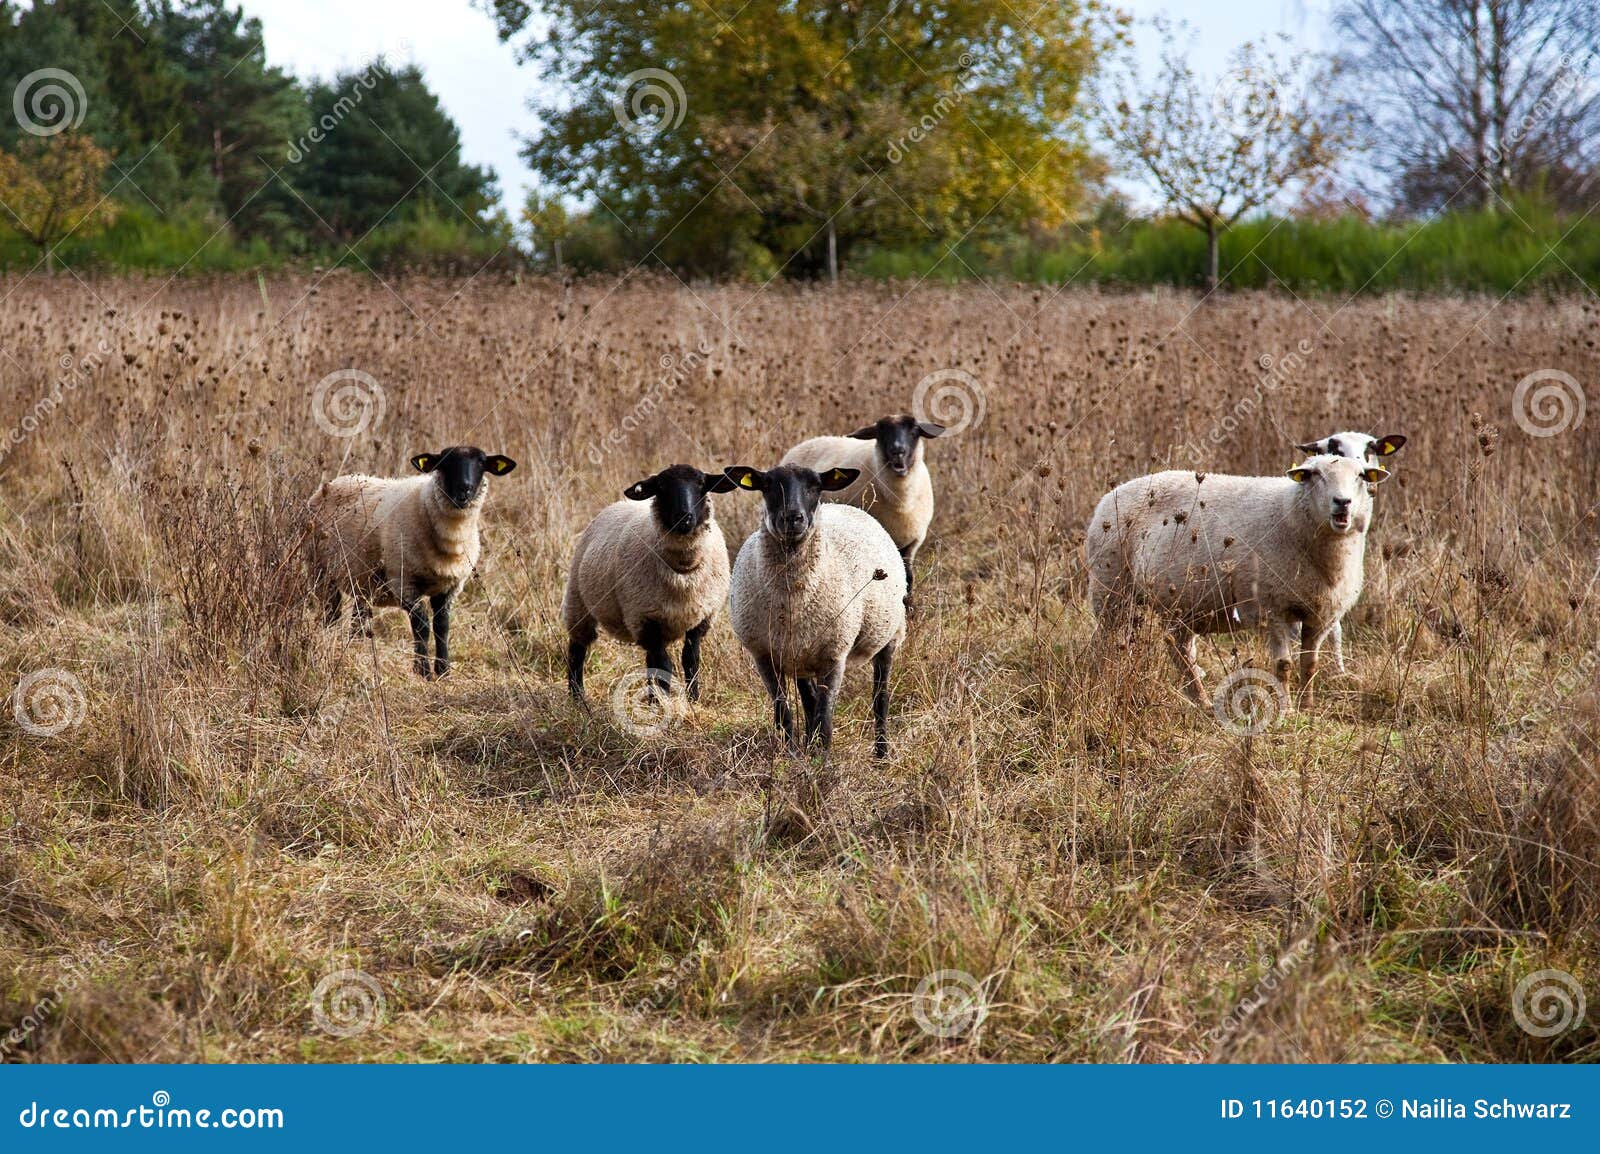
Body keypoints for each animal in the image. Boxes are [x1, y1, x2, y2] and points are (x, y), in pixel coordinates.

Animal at [308, 446, 517, 678]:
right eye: (445, 462)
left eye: (481, 463)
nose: (465, 490)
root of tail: (332, 482)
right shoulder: (404, 581)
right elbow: (422, 625)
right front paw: (422, 670)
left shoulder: (451, 586)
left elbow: (442, 625)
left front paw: (443, 670)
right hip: (320, 570)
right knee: (331, 612)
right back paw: (331, 640)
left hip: (362, 579)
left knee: (359, 614)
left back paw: (356, 646)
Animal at [562, 465, 736, 706]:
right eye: (661, 486)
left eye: (702, 484)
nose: (684, 517)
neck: (683, 572)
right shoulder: (645, 617)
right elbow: (664, 665)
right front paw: (664, 704)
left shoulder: (702, 618)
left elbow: (690, 660)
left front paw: (693, 699)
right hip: (578, 601)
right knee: (577, 649)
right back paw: (577, 697)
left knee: (649, 660)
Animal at [723, 463, 907, 757]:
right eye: (767, 485)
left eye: (815, 486)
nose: (793, 518)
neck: (792, 601)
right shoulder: (764, 656)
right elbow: (784, 713)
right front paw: (790, 754)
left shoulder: (833, 656)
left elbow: (826, 718)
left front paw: (823, 760)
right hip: (800, 655)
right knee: (808, 700)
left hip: (890, 634)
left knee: (880, 698)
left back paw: (881, 755)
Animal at [779, 414, 944, 598]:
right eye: (881, 432)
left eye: (914, 431)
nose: (898, 451)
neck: (900, 502)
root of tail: (809, 441)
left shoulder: (912, 543)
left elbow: (909, 578)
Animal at [1085, 453, 1389, 707]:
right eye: (1316, 475)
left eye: (1361, 476)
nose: (1343, 503)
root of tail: (1111, 494)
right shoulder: (1273, 606)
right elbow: (1284, 665)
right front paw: (1287, 708)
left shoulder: (1321, 614)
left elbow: (1310, 664)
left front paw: (1307, 707)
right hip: (1110, 587)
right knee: (1105, 642)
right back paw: (1101, 680)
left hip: (1182, 603)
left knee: (1180, 649)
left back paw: (1202, 702)